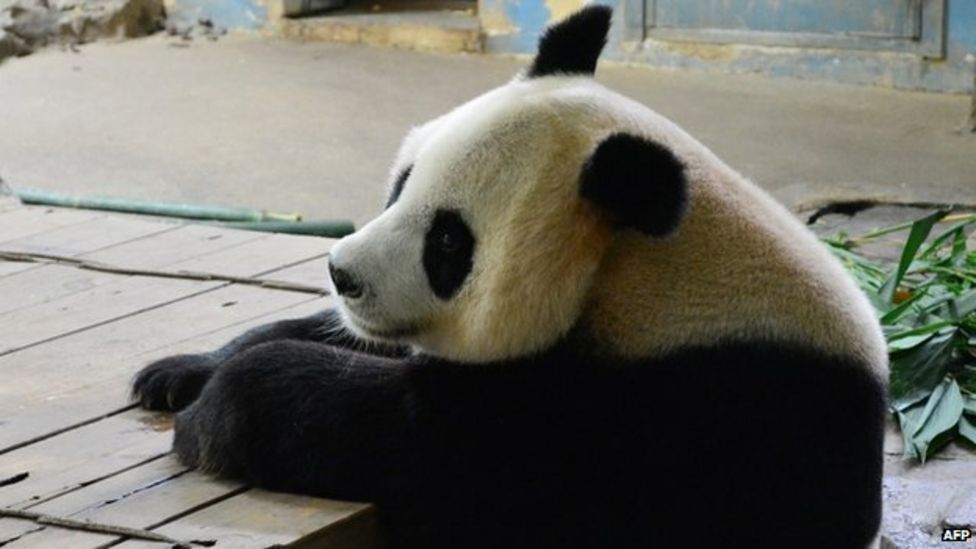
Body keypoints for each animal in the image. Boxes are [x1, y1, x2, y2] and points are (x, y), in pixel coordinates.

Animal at [133, 6, 887, 549]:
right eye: (402, 182)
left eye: (448, 242)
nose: (341, 273)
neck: (641, 271)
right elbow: (344, 338)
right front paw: (178, 374)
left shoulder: (670, 408)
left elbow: (417, 437)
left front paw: (211, 416)